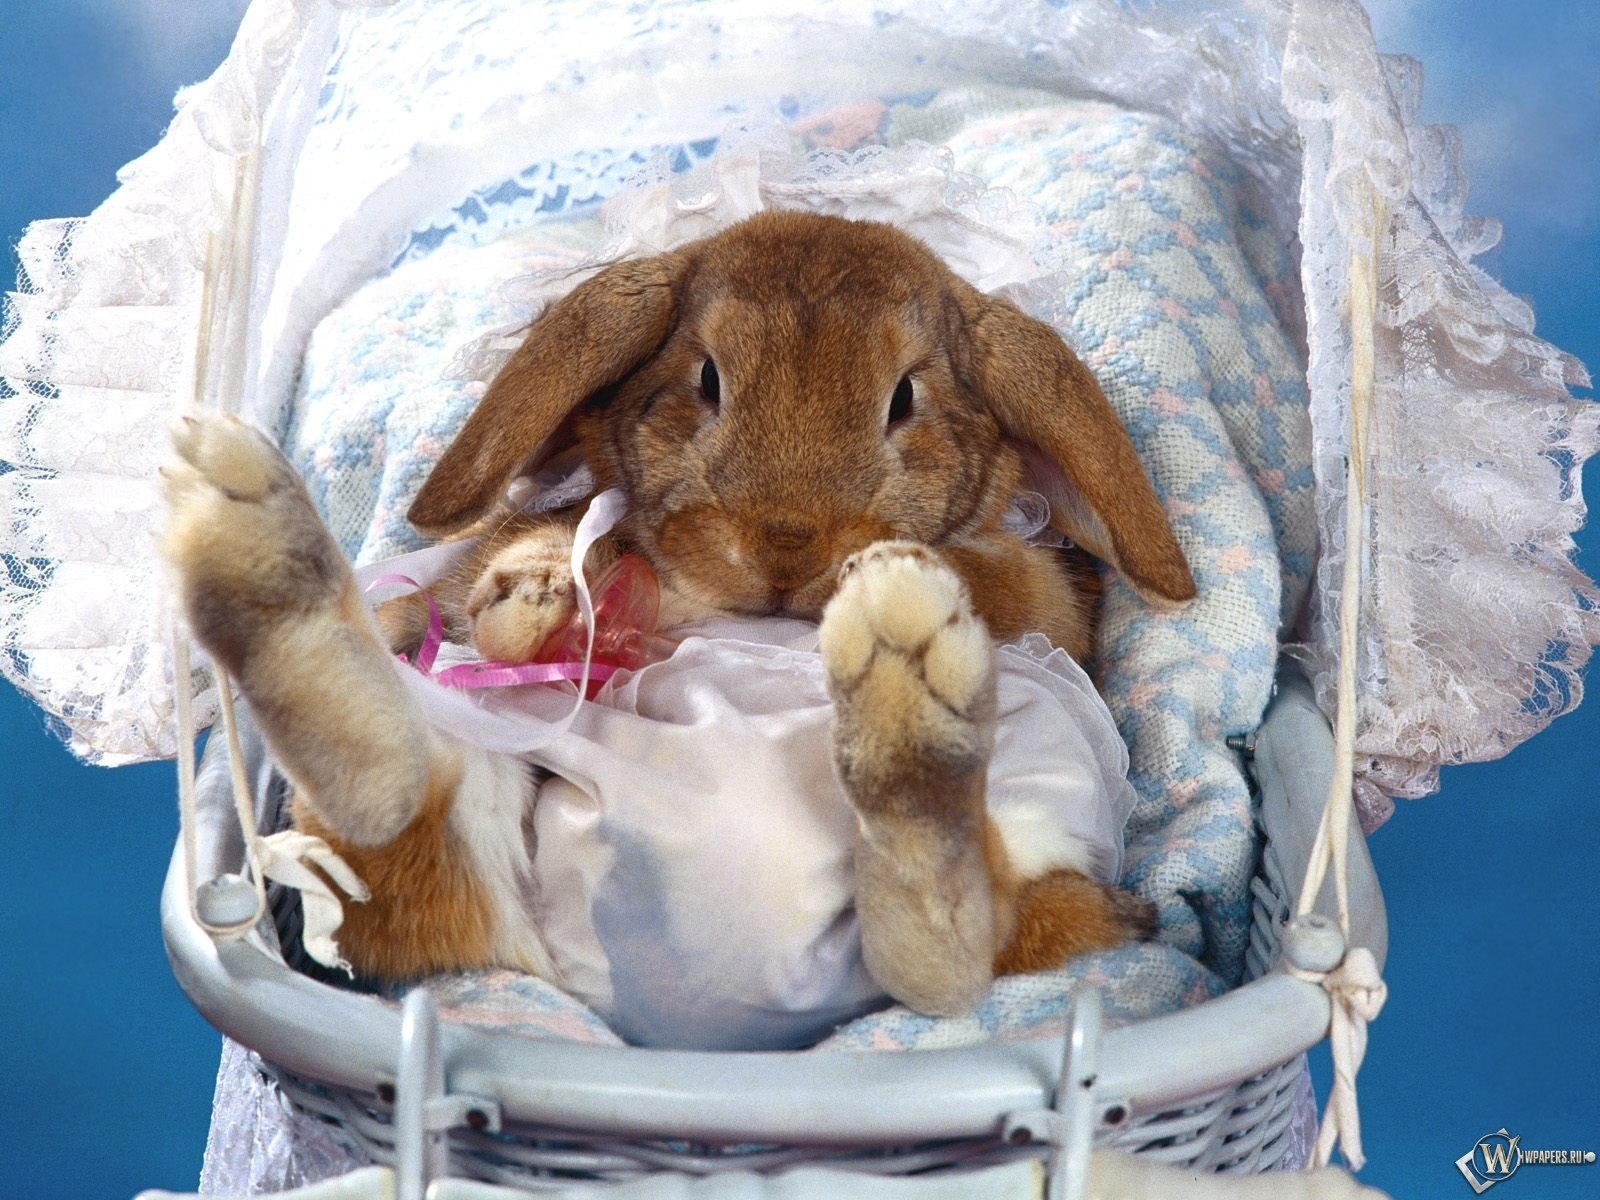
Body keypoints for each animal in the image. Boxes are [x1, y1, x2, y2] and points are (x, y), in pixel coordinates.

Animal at [161, 210, 1194, 1018]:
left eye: (905, 396)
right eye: (708, 379)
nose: (785, 545)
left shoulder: (1044, 604)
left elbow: (998, 586)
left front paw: (895, 588)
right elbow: (528, 557)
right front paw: (533, 599)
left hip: (1032, 839)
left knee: (958, 943)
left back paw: (900, 654)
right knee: (396, 804)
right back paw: (250, 528)